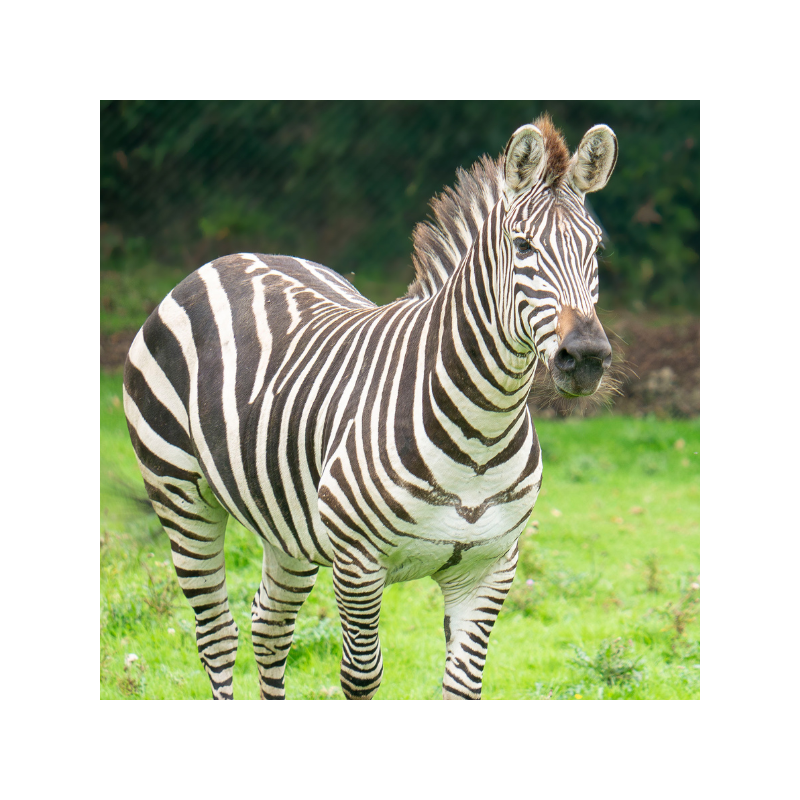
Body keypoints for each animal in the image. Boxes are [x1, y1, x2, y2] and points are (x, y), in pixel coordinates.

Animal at [123, 114, 617, 700]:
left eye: (597, 249)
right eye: (522, 246)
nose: (585, 357)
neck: (482, 432)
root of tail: (229, 258)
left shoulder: (490, 567)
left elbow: (464, 685)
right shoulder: (359, 564)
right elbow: (362, 676)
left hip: (288, 524)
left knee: (268, 626)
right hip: (181, 494)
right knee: (217, 634)